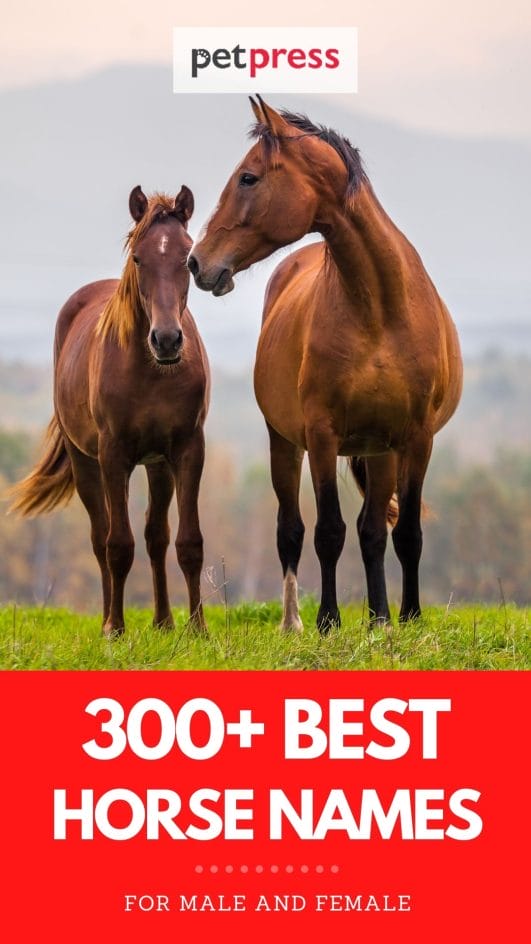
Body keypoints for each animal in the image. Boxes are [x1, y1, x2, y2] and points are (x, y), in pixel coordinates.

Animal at [8, 186, 210, 637]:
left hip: (157, 465)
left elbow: (187, 541)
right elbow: (118, 545)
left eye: (186, 257)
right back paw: (107, 620)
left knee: (156, 536)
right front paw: (115, 628)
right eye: (138, 258)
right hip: (86, 462)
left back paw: (164, 621)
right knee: (101, 537)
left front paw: (197, 630)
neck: (152, 372)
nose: (167, 340)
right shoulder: (113, 455)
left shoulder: (188, 449)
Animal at [188, 96, 463, 634]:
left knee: (373, 529)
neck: (380, 309)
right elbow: (327, 531)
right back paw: (293, 621)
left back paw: (379, 618)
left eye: (248, 178)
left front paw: (407, 617)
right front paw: (328, 621)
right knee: (291, 529)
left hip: (381, 451)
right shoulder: (320, 434)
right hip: (285, 444)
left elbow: (405, 532)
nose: (197, 262)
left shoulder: (415, 438)